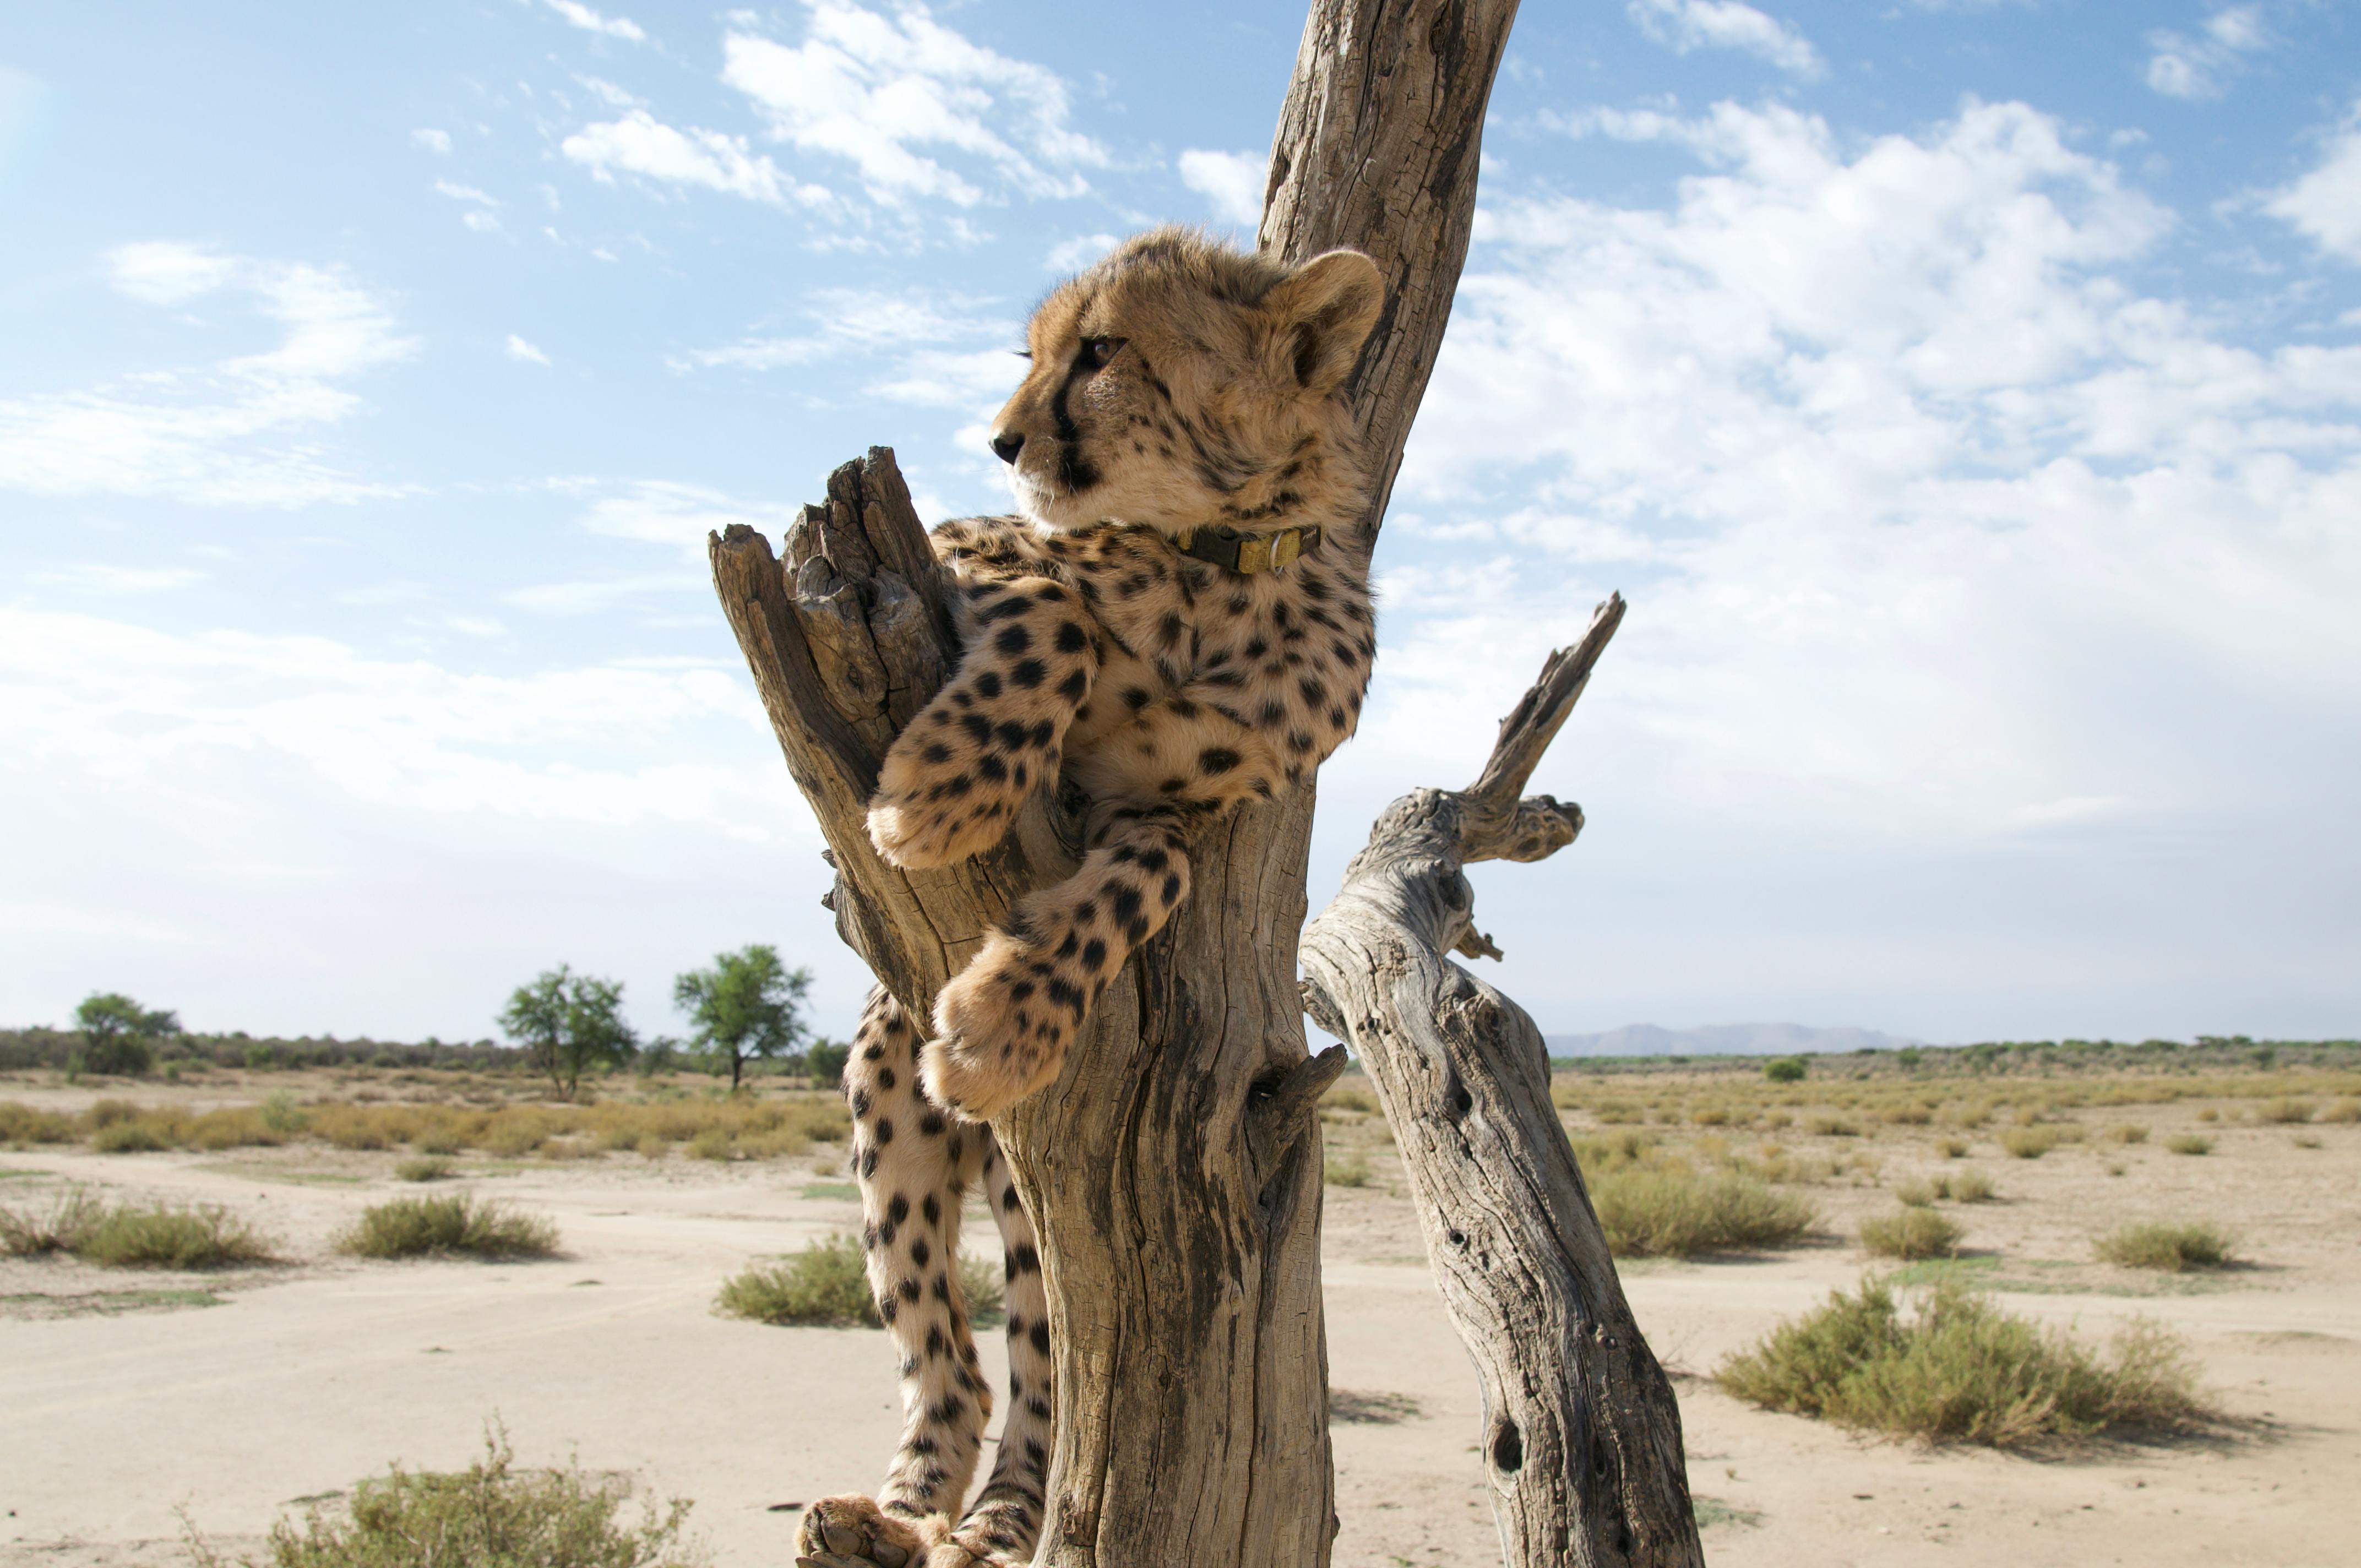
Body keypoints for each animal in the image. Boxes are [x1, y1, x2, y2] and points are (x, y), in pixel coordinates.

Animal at [798, 227, 1383, 1568]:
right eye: (1035, 351)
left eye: (1104, 349)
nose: (1002, 439)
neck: (1214, 564)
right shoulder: (958, 550)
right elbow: (1056, 612)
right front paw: (939, 790)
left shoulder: (1165, 816)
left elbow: (1143, 882)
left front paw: (1004, 1027)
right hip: (882, 1098)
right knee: (944, 1356)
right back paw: (899, 1510)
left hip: (1018, 1184)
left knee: (1039, 1357)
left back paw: (994, 1518)